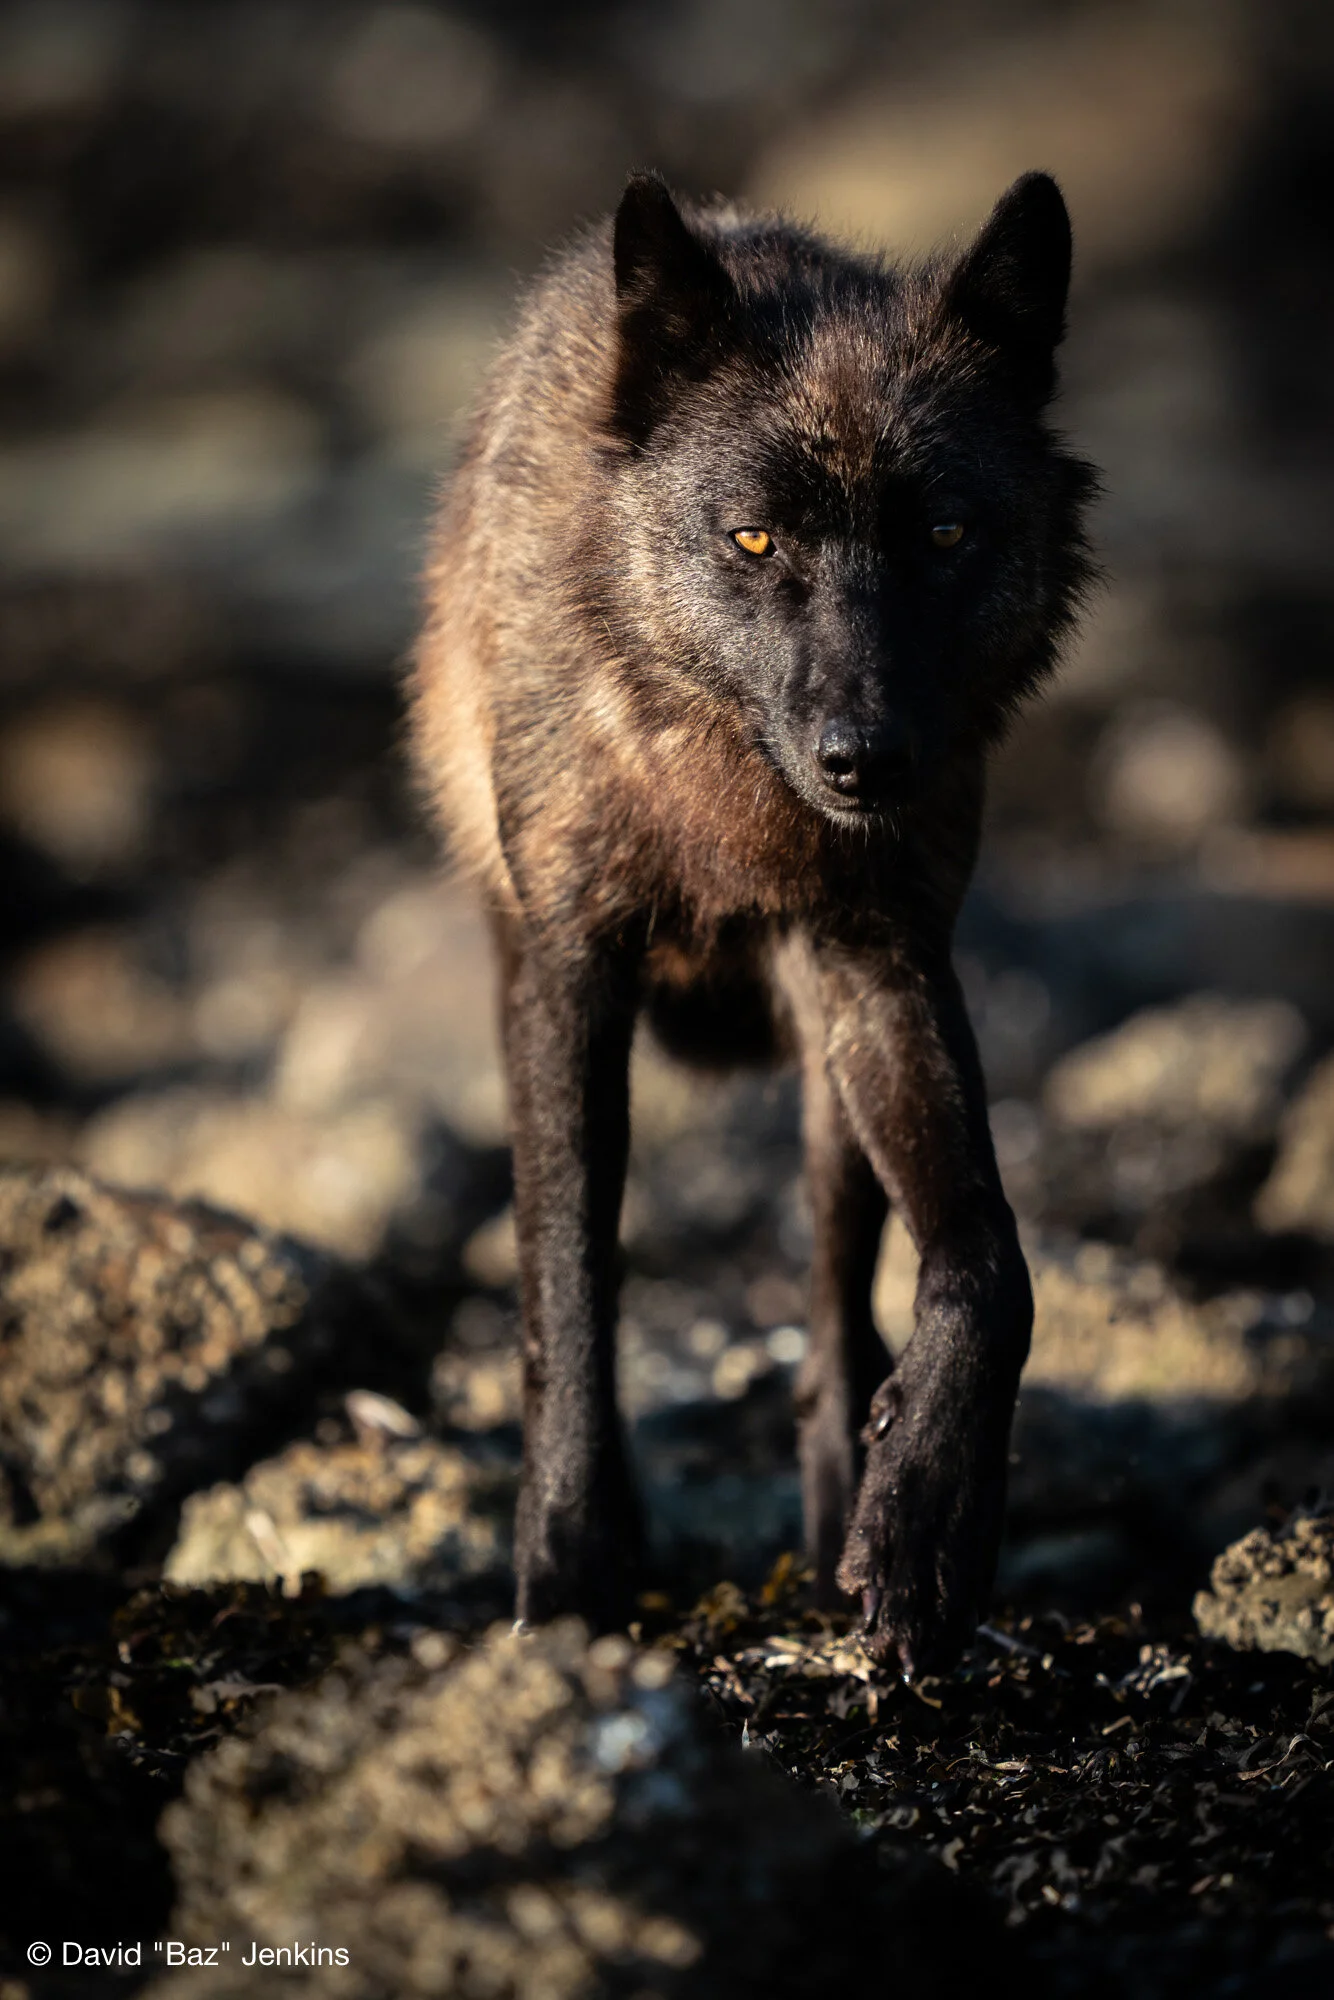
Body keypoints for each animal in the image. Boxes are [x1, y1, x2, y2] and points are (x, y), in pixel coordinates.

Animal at [411, 169, 1097, 1675]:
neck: (725, 800)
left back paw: (852, 1507)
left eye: (944, 533)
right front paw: (569, 1572)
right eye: (753, 537)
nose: (865, 762)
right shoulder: (568, 978)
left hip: (831, 1086)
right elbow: (568, 1288)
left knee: (838, 1308)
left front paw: (926, 1517)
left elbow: (989, 1260)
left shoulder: (880, 957)